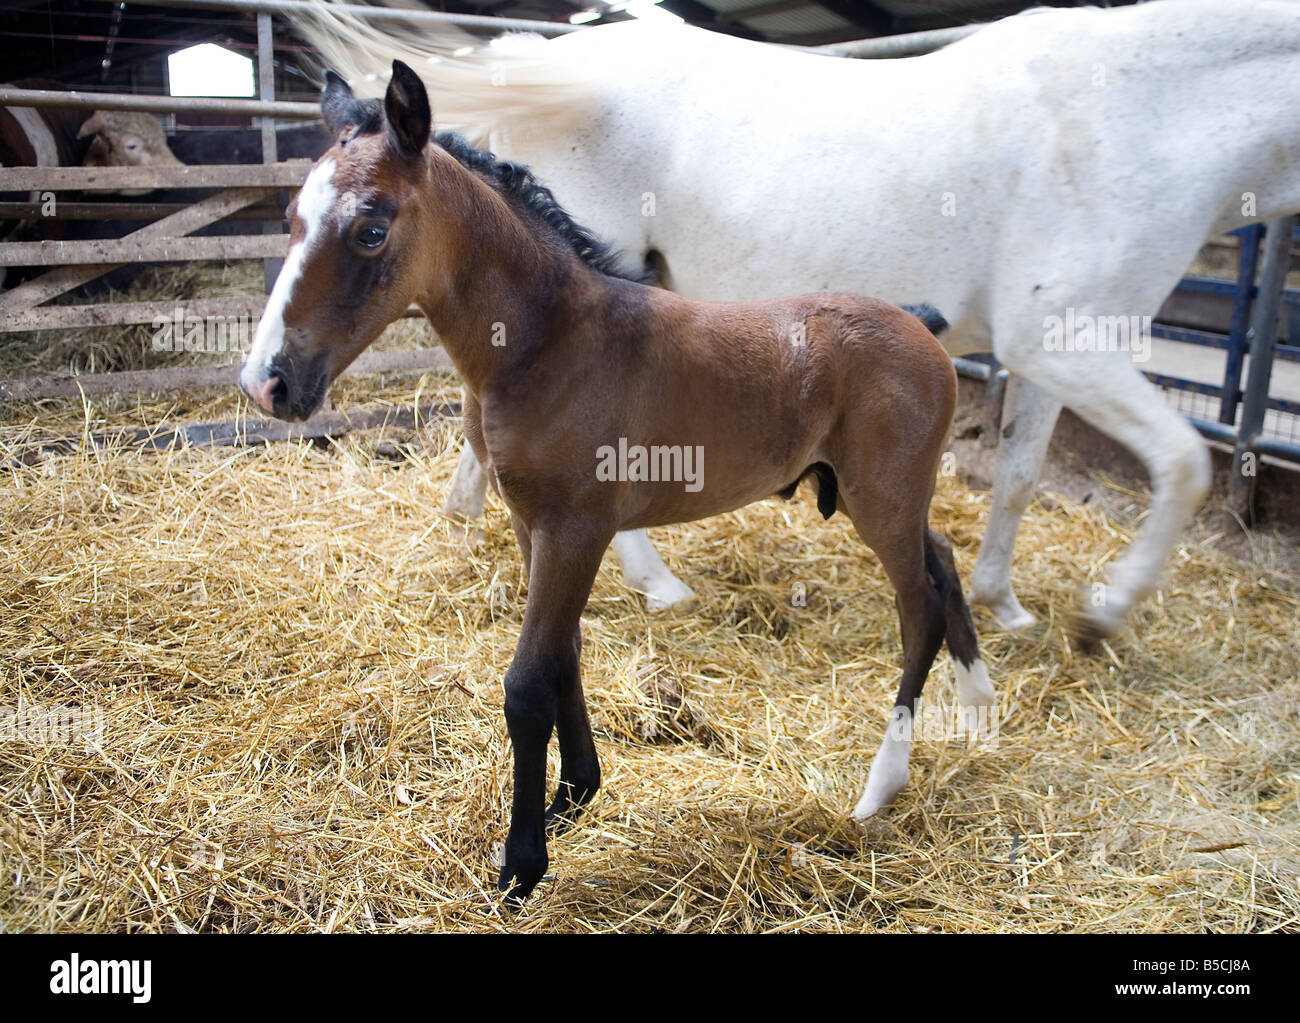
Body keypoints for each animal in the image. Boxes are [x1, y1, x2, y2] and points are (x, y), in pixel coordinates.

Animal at [237, 62, 995, 902]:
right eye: (290, 216)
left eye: (371, 227)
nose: (269, 382)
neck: (552, 343)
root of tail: (921, 325)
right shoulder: (532, 521)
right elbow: (564, 654)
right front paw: (575, 795)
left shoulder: (575, 527)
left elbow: (529, 683)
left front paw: (522, 863)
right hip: (892, 496)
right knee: (944, 563)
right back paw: (977, 712)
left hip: (879, 498)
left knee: (919, 607)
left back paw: (880, 787)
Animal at [293, 0, 1300, 640]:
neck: (1134, 104)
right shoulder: (1066, 345)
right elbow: (1185, 464)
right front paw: (1104, 615)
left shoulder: (1059, 353)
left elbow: (1017, 477)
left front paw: (1006, 604)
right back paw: (656, 585)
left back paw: (468, 529)